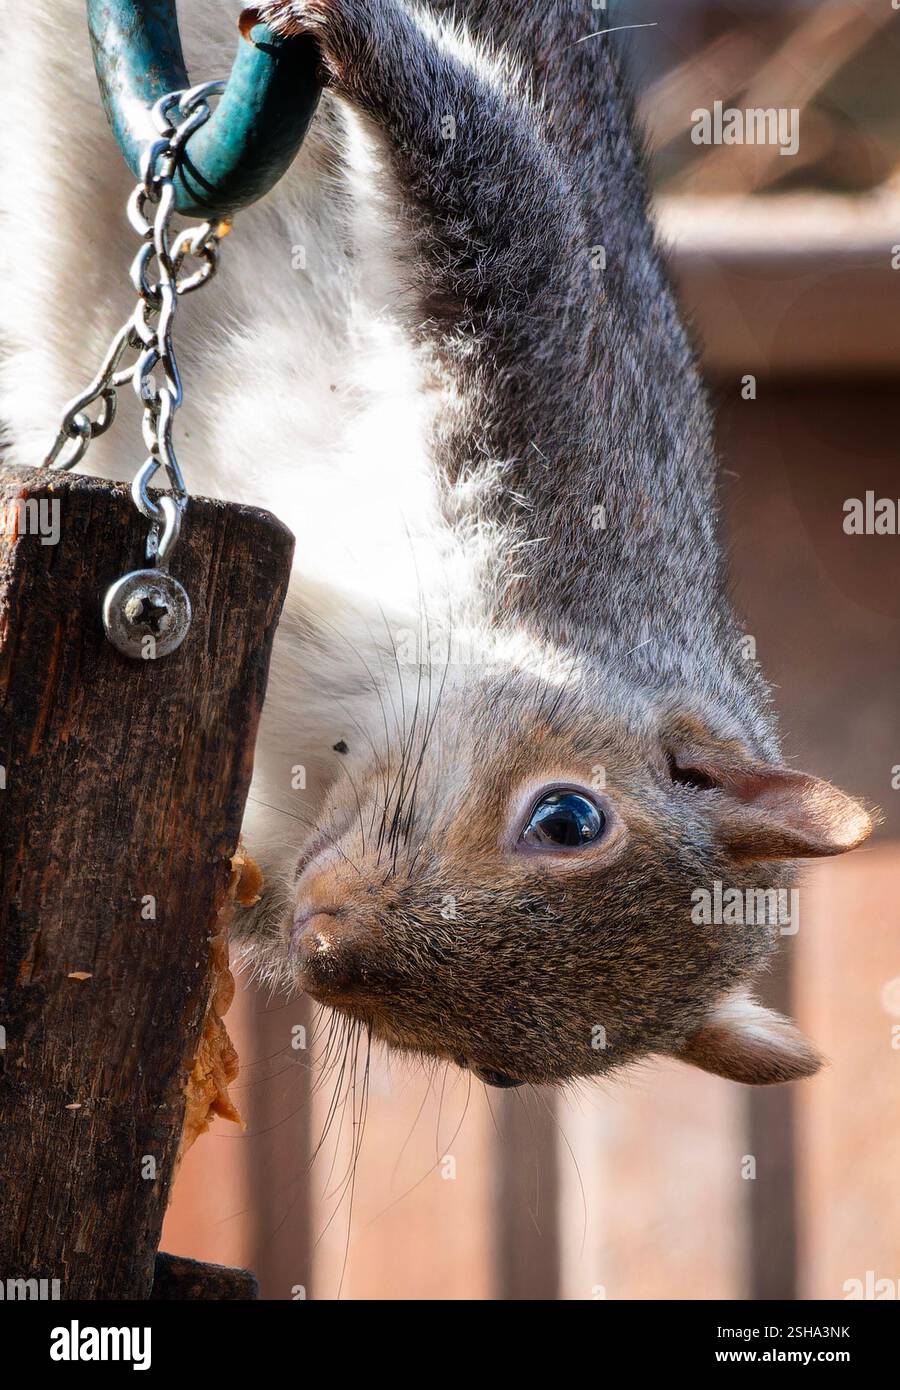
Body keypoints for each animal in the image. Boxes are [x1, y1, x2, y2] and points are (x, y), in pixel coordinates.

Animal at [0, 1, 873, 1089]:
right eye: (568, 820)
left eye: (500, 1071)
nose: (325, 945)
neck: (347, 711)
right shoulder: (555, 406)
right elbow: (479, 185)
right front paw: (351, 41)